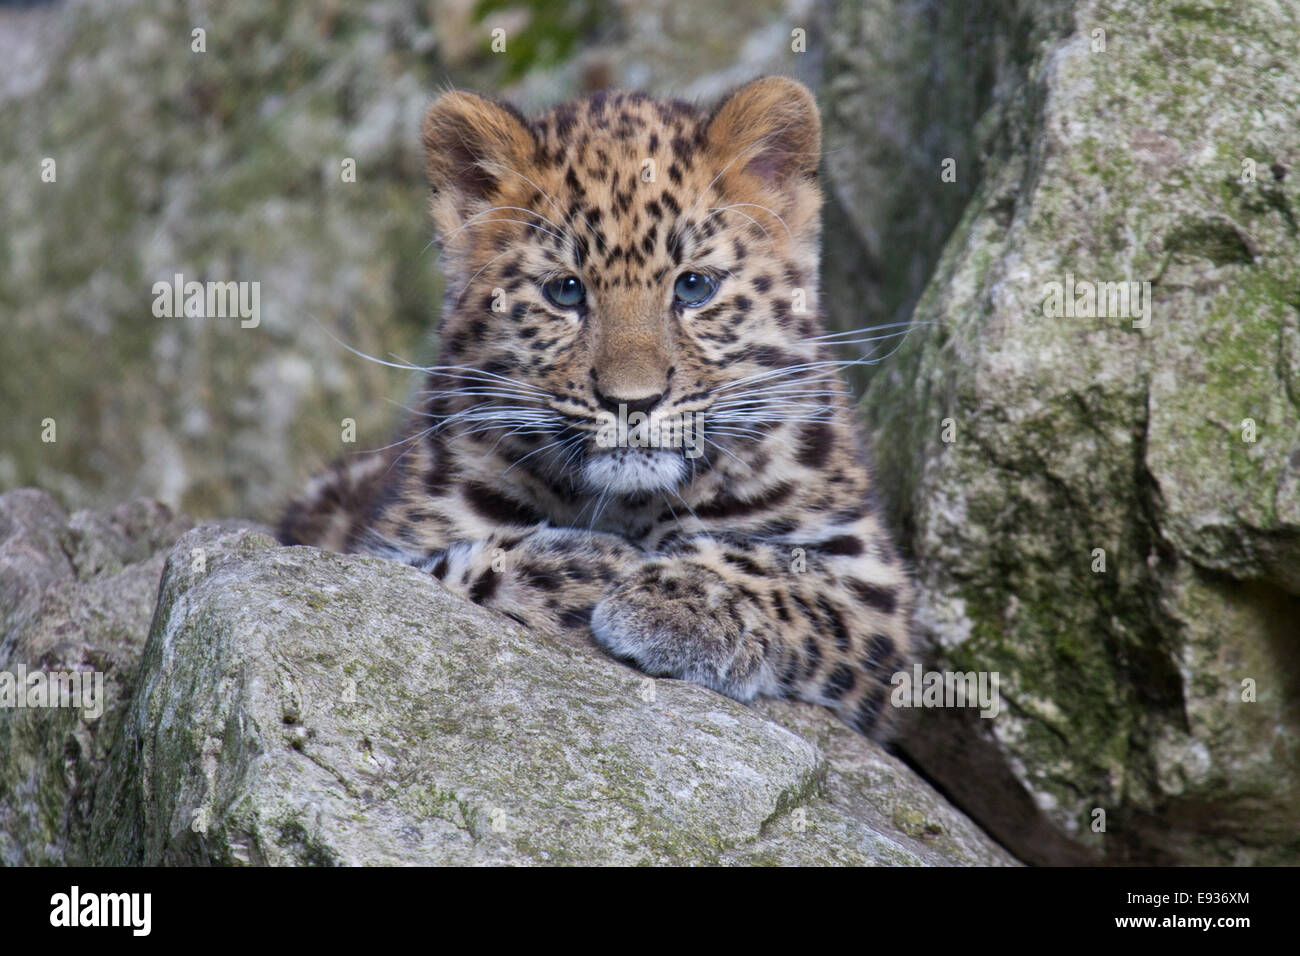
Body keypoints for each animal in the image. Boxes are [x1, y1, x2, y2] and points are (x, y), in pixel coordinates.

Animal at [278, 76, 914, 737]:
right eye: (566, 291)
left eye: (694, 287)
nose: (632, 403)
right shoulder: (381, 550)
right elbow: (447, 573)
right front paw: (598, 566)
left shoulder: (872, 578)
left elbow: (780, 570)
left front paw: (672, 600)